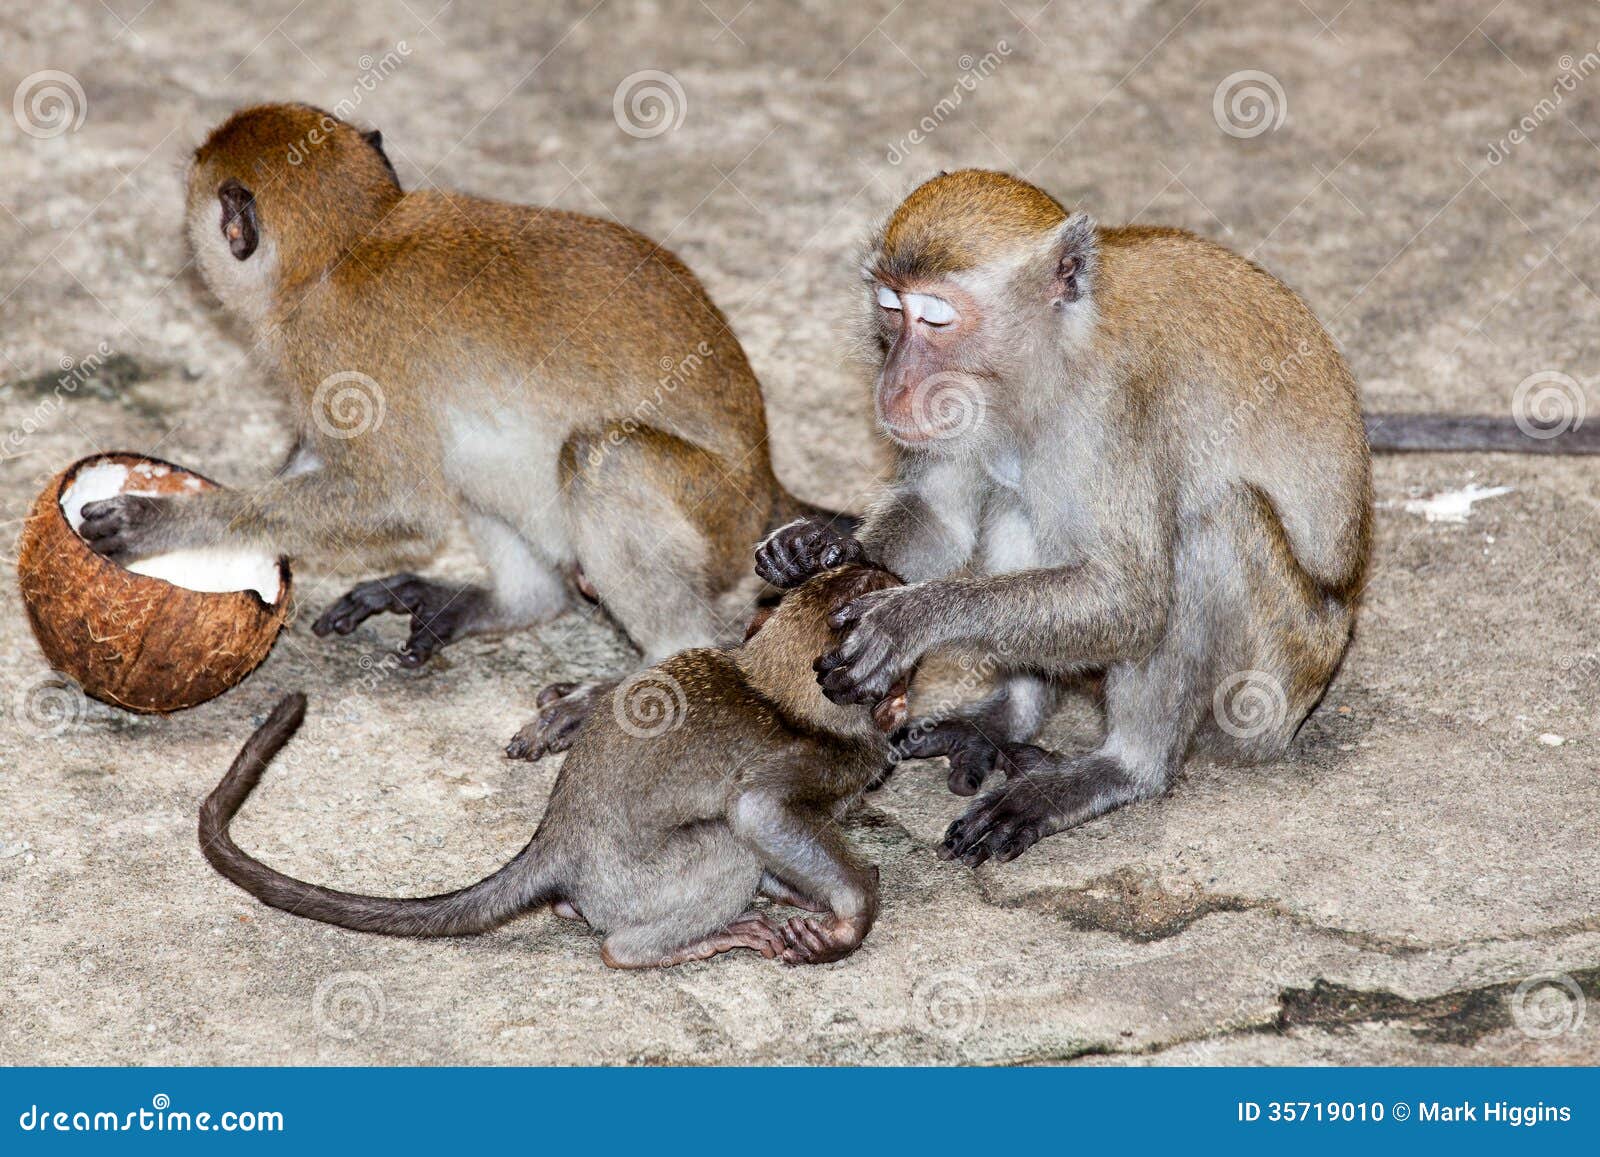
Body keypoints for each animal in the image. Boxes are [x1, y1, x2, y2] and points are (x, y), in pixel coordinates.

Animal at [76, 102, 844, 759]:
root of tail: (766, 484)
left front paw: (163, 522)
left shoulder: (333, 344)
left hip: (717, 515)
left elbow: (400, 502)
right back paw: (515, 601)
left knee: (602, 455)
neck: (347, 244)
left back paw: (653, 667)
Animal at [199, 562, 908, 968]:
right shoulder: (823, 758)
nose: (898, 699)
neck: (771, 685)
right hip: (639, 882)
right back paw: (659, 946)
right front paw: (851, 919)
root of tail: (556, 842)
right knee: (723, 847)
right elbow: (759, 810)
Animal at [757, 168, 1599, 869]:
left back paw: (1124, 768)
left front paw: (912, 618)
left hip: (1273, 686)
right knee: (1016, 505)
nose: (893, 384)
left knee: (1206, 529)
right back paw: (1008, 717)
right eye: (889, 312)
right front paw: (824, 547)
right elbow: (942, 516)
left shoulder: (1117, 408)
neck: (1045, 368)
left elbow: (1134, 598)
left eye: (934, 320)